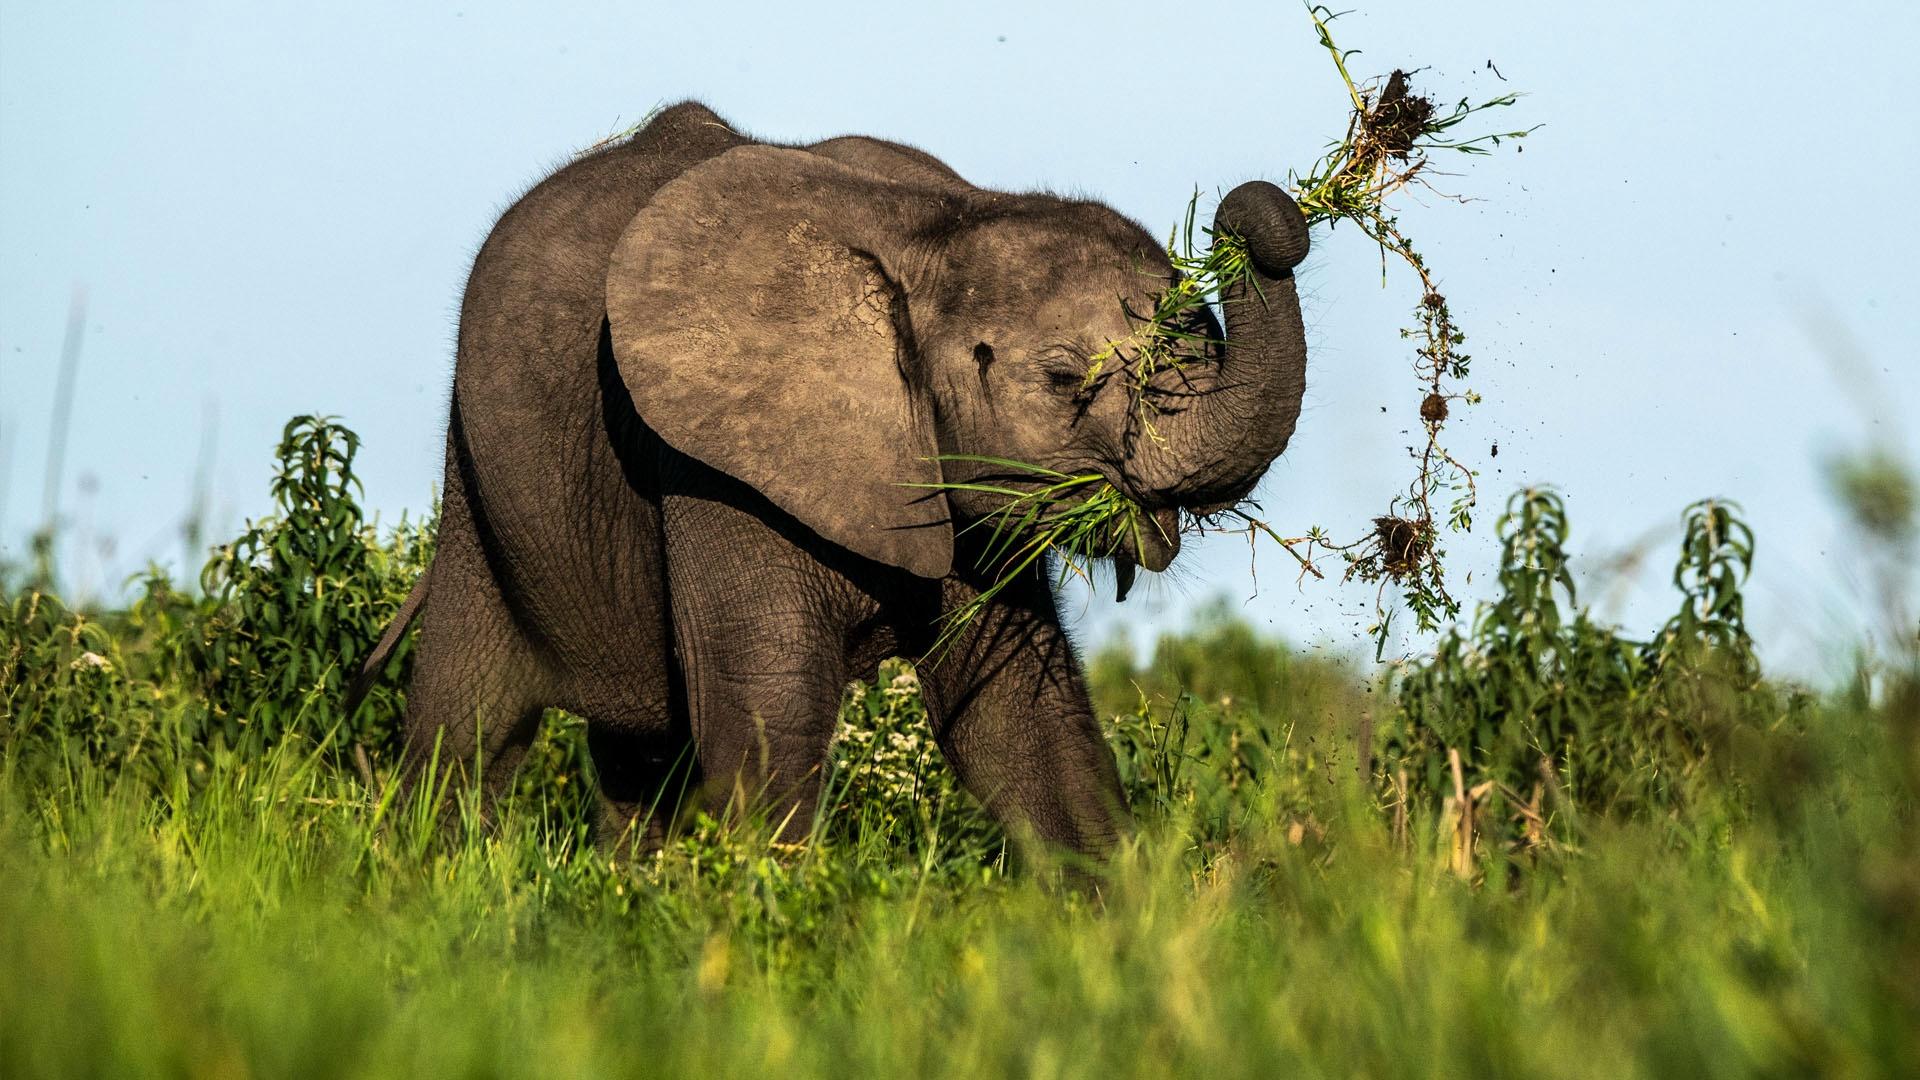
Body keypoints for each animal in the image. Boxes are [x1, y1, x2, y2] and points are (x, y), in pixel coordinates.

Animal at [349, 101, 1310, 861]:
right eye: (1064, 379)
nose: (1254, 217)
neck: (937, 231)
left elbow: (1020, 719)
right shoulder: (713, 454)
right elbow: (768, 716)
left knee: (638, 758)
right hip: (479, 476)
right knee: (466, 725)